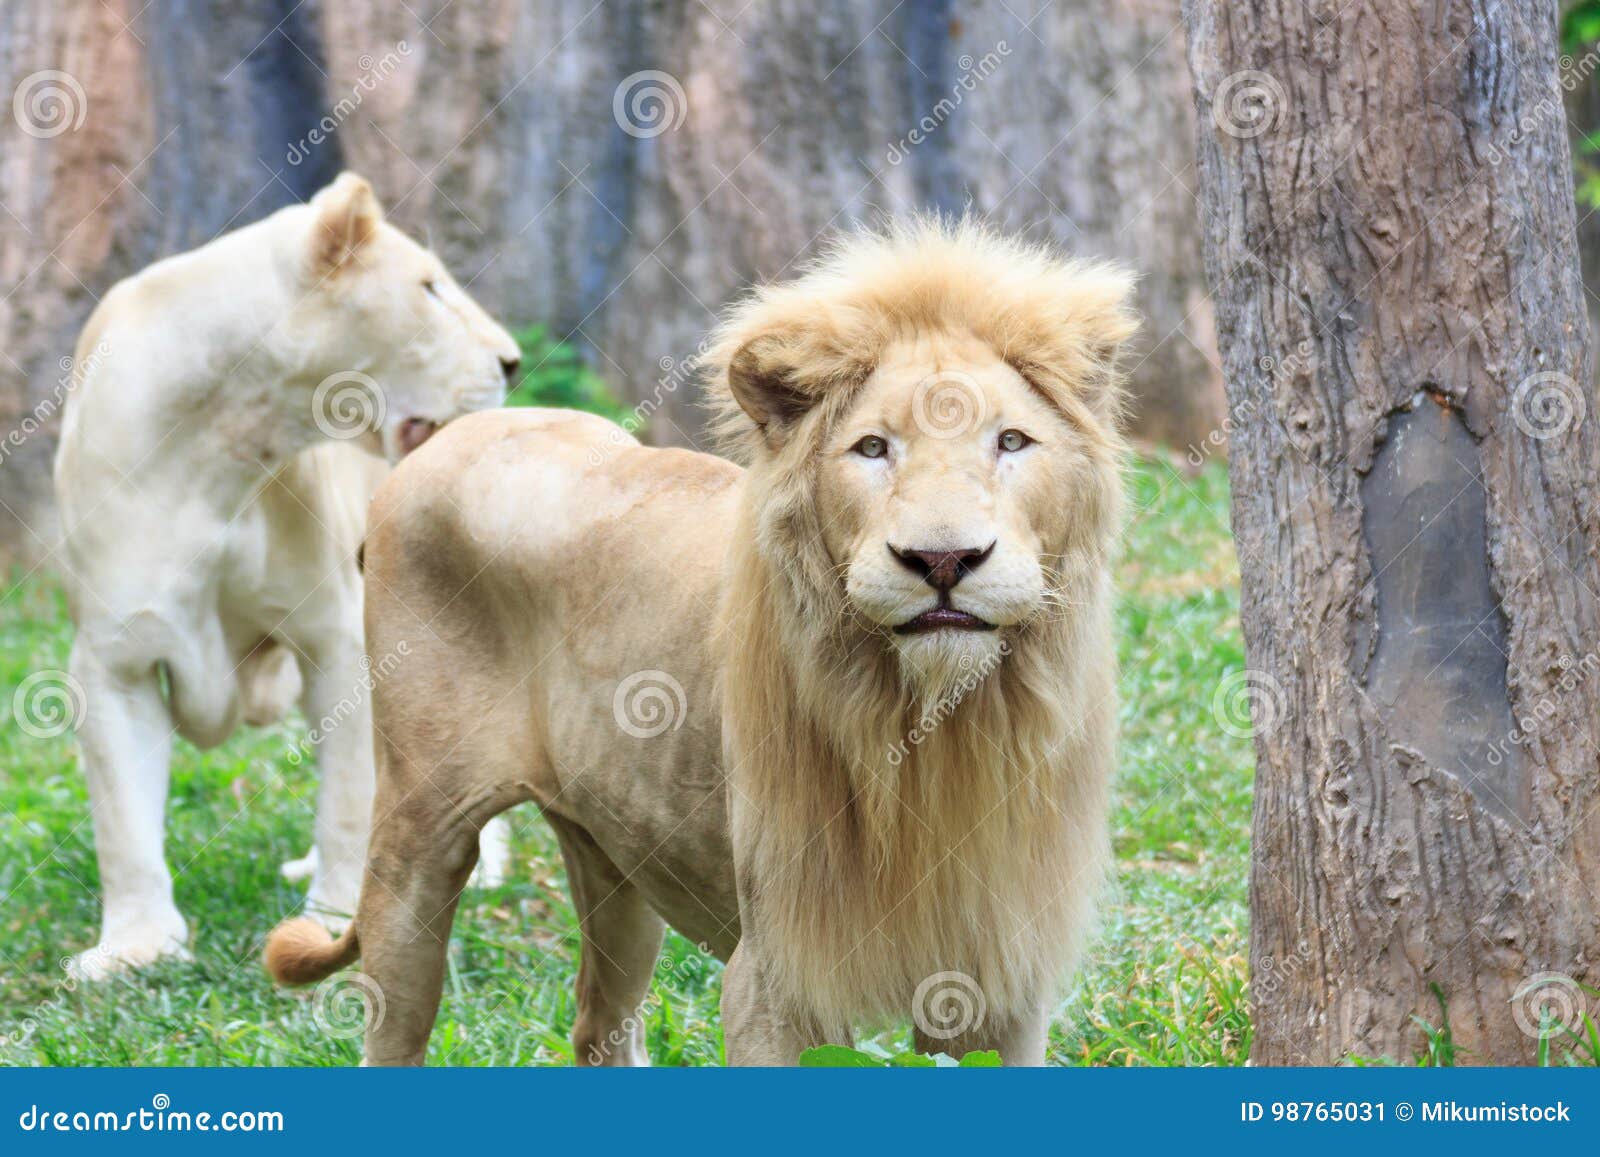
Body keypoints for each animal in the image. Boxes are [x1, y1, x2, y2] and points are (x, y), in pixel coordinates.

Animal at [54, 172, 519, 980]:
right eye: (429, 288)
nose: (513, 361)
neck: (223, 445)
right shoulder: (116, 656)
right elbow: (122, 817)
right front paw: (135, 948)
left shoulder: (339, 636)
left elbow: (346, 798)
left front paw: (332, 915)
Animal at [264, 217, 1136, 1065]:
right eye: (872, 448)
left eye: (1012, 442)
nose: (944, 560)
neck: (931, 729)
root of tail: (434, 447)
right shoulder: (774, 978)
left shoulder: (998, 980)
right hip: (419, 831)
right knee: (396, 1028)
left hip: (613, 853)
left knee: (598, 1025)